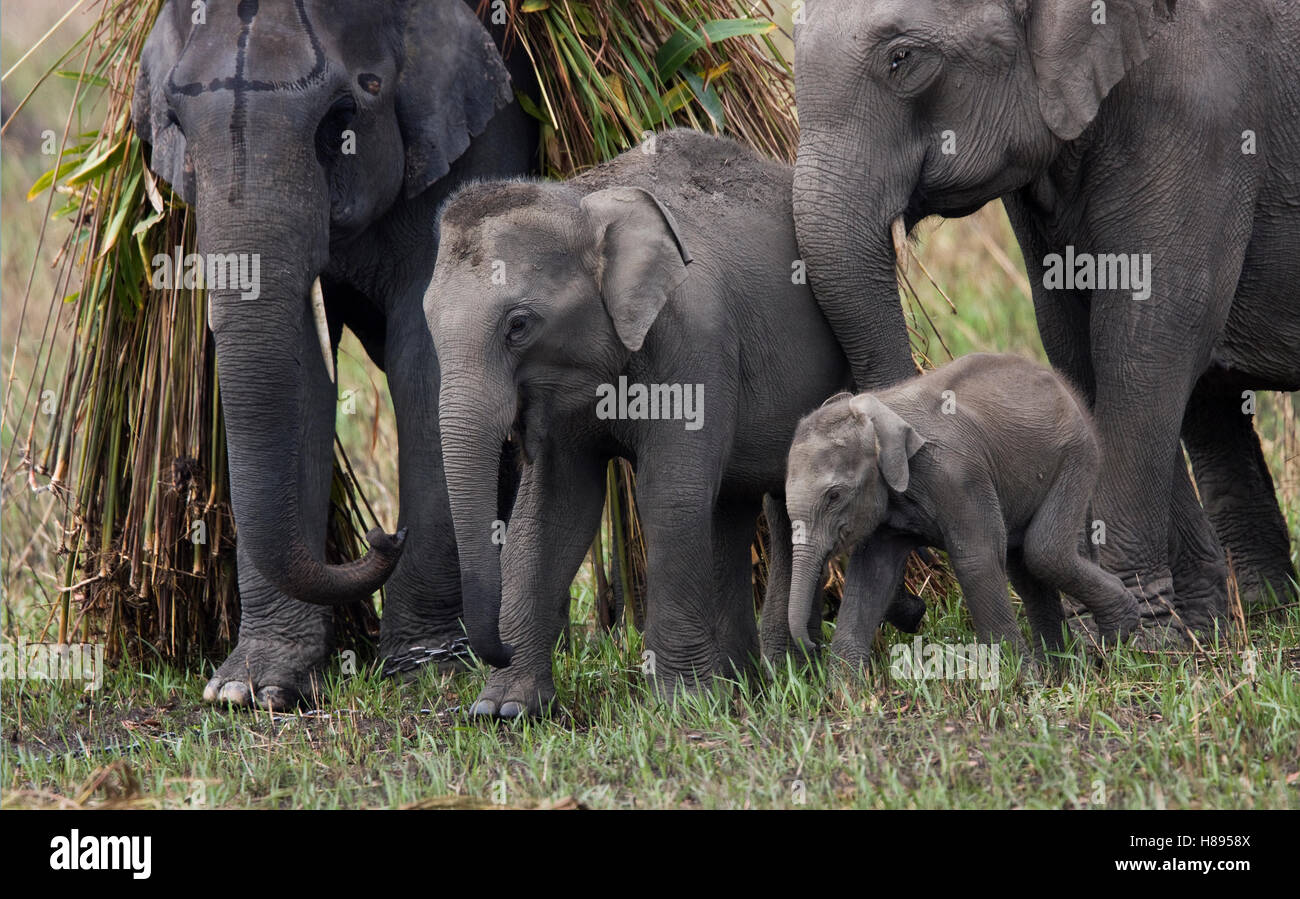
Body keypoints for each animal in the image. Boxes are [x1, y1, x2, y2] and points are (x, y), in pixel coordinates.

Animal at [131, 0, 537, 708]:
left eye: (346, 112)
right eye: (174, 124)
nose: (385, 534)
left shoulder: (484, 136)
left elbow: (428, 362)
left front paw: (425, 670)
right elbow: (298, 375)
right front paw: (247, 692)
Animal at [426, 128, 908, 717]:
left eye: (518, 325)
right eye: (428, 323)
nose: (490, 651)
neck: (583, 201)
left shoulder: (695, 338)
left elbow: (670, 497)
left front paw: (681, 707)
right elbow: (552, 508)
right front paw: (504, 712)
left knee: (778, 500)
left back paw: (783, 672)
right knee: (730, 505)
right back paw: (743, 678)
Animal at [784, 353, 1141, 669]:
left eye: (834, 495)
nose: (813, 646)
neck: (880, 411)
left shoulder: (958, 477)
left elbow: (977, 560)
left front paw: (1021, 683)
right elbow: (872, 575)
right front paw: (847, 692)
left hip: (1077, 455)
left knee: (1044, 551)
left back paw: (1116, 633)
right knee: (1025, 566)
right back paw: (1059, 670)